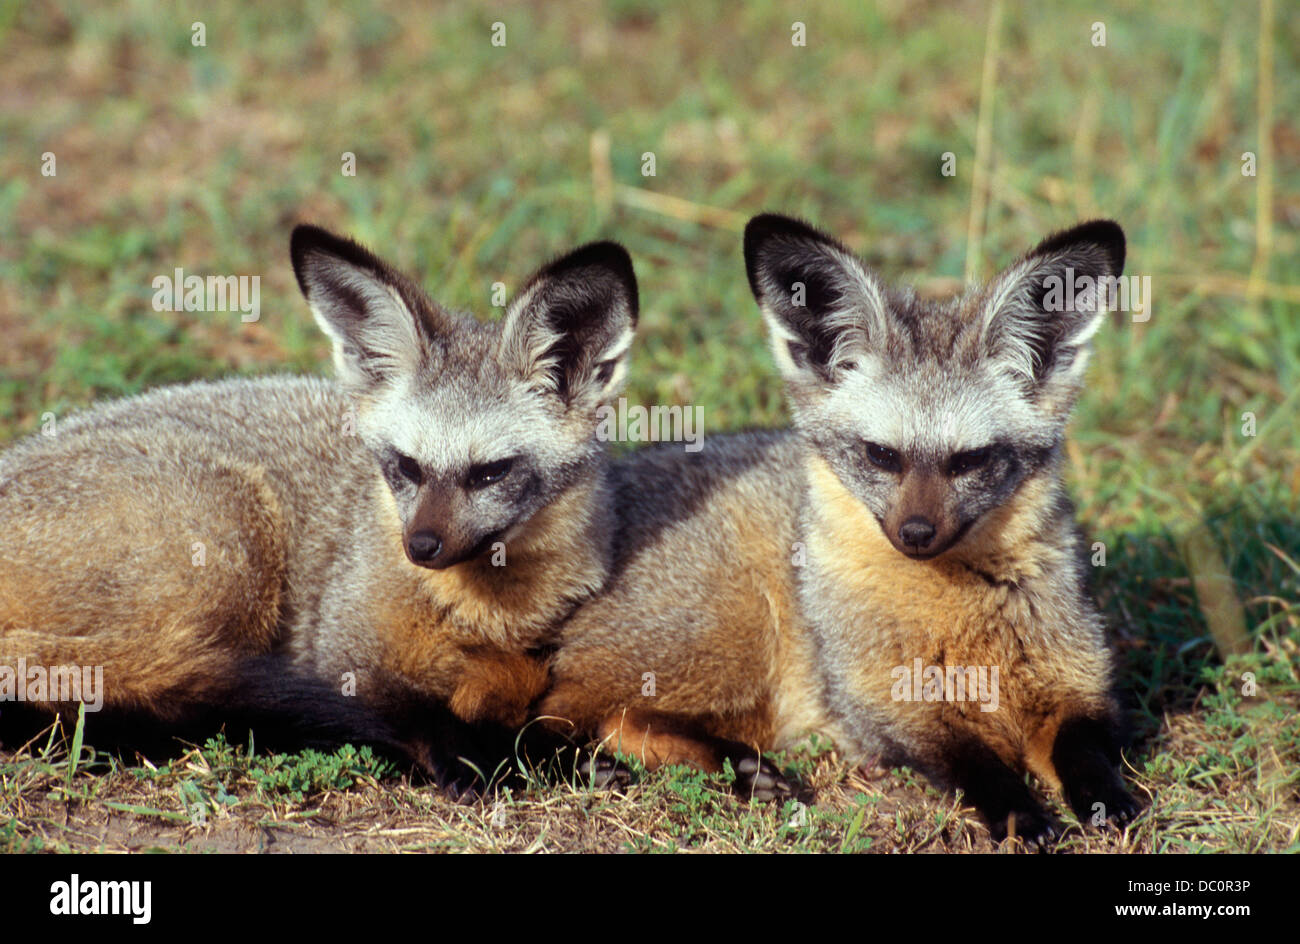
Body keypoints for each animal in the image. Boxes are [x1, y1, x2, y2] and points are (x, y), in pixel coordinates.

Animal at [0, 224, 638, 791]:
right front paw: (492, 758)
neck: (486, 613)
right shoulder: (345, 653)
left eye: (490, 472)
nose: (420, 547)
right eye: (407, 466)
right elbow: (412, 711)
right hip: (234, 544)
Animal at [541, 213, 1139, 844]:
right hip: (730, 638)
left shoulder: (1077, 686)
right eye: (882, 455)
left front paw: (1105, 799)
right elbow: (975, 763)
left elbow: (1084, 752)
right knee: (594, 716)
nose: (916, 533)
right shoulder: (887, 709)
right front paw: (1018, 812)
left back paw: (742, 767)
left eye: (969, 461)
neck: (962, 622)